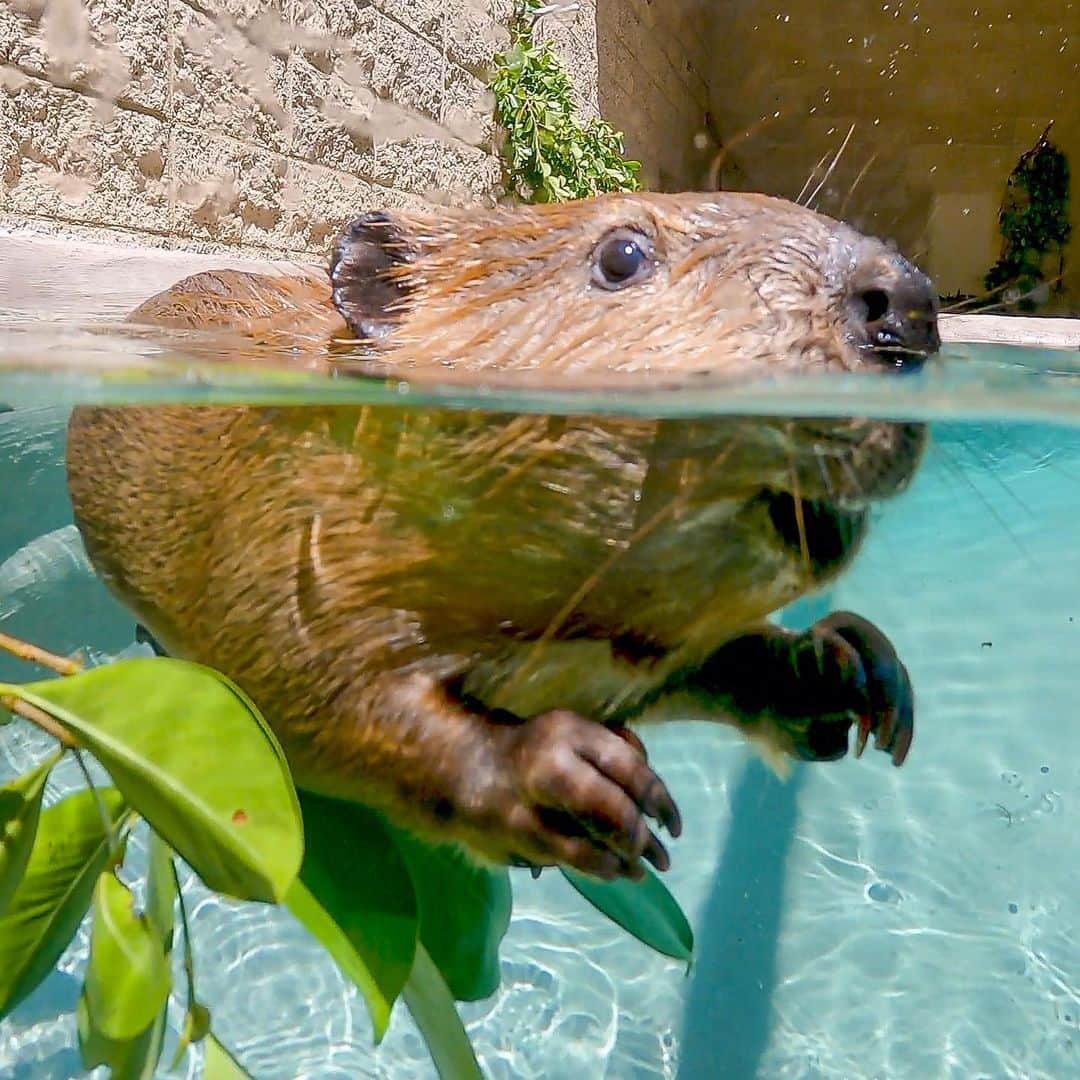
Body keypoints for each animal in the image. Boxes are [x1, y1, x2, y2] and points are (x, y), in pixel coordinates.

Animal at [65, 196, 937, 885]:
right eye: (622, 256)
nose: (906, 302)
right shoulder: (276, 523)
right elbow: (305, 695)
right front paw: (577, 781)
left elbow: (712, 662)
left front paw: (849, 668)